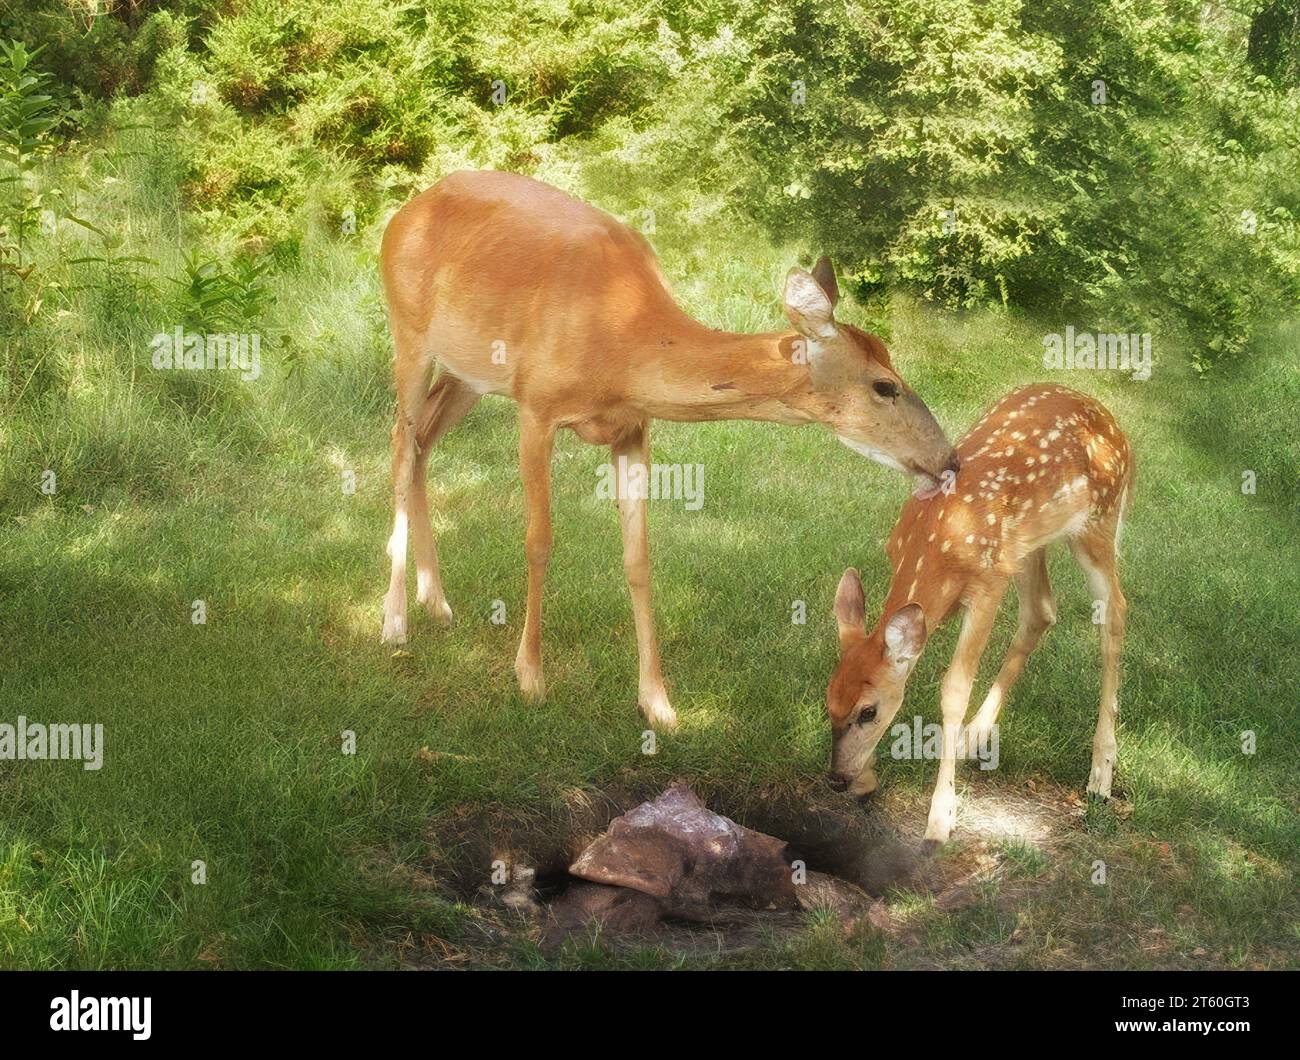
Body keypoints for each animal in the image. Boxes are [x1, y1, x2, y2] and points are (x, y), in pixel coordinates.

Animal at [379, 170, 958, 730]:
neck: (623, 348)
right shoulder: (535, 408)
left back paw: (436, 600)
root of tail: (407, 210)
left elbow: (639, 559)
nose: (949, 460)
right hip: (409, 335)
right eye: (885, 385)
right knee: (401, 447)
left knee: (423, 442)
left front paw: (657, 703)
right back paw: (395, 620)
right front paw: (530, 677)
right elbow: (539, 540)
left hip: (467, 373)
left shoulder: (634, 427)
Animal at [826, 384, 1133, 843]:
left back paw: (1100, 775)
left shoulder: (987, 584)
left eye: (869, 711)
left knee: (1115, 610)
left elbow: (953, 689)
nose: (836, 779)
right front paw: (867, 779)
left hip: (1097, 523)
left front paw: (940, 818)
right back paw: (974, 738)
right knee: (1042, 610)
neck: (935, 544)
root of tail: (1117, 429)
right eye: (829, 702)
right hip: (1027, 545)